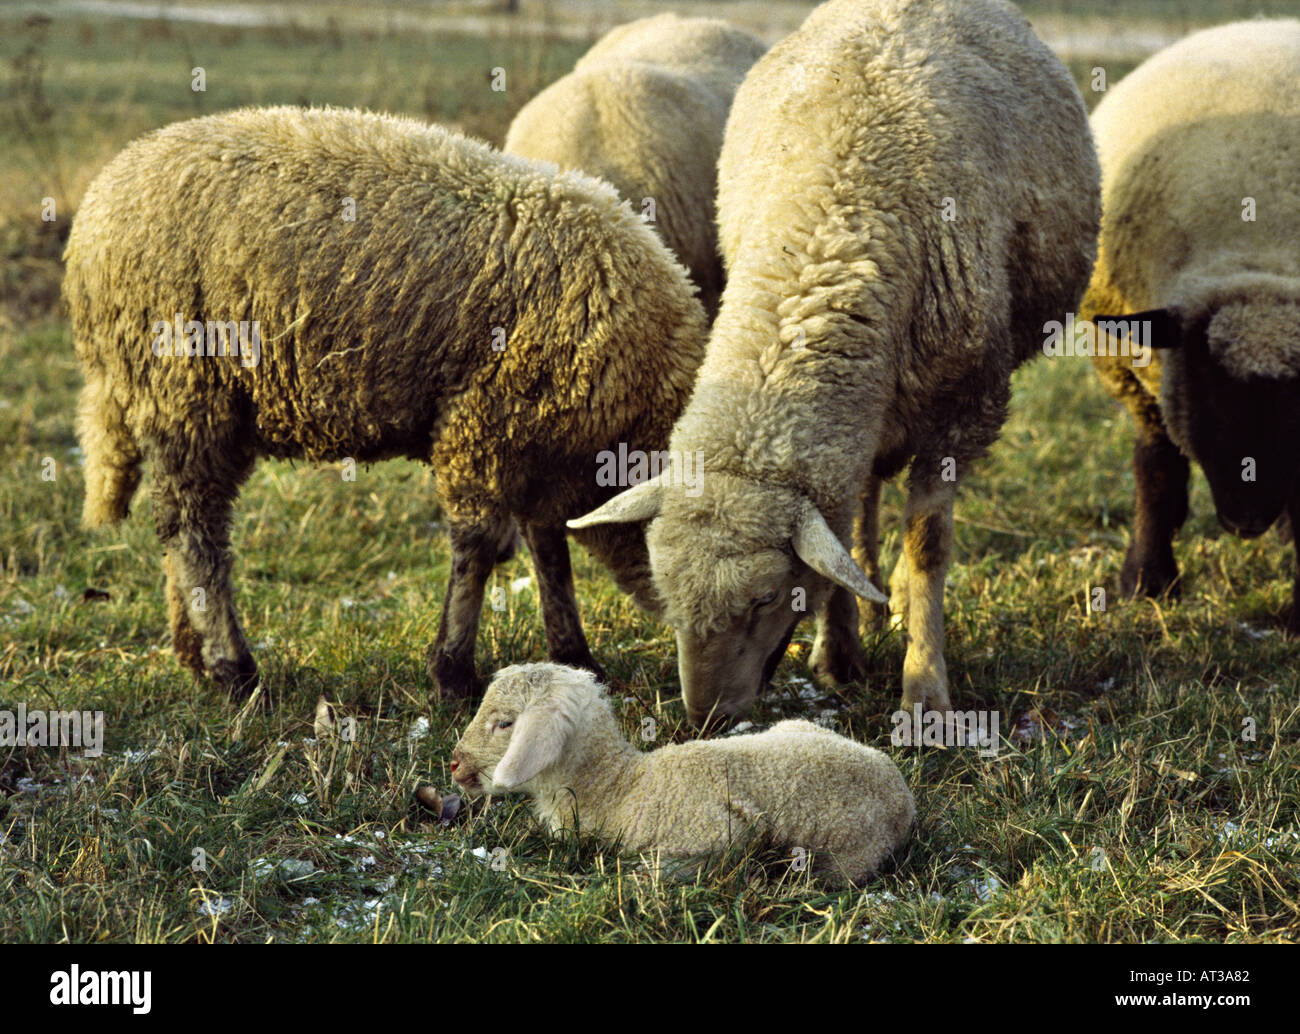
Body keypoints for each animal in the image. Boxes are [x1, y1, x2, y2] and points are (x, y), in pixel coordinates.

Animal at [65, 105, 707, 700]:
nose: (715, 707)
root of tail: (96, 208)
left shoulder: (533, 445)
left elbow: (548, 549)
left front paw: (575, 656)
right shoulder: (483, 426)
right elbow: (479, 546)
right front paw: (454, 675)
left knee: (181, 521)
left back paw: (193, 655)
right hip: (184, 390)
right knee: (193, 530)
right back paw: (233, 669)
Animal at [451, 663, 915, 887]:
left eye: (505, 724)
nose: (454, 763)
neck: (619, 786)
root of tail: (902, 795)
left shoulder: (720, 835)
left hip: (845, 858)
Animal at [569, 0, 1101, 726]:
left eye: (766, 598)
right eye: (666, 590)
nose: (705, 719)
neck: (829, 232)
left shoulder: (964, 409)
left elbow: (929, 543)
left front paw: (924, 689)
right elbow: (841, 532)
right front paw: (838, 653)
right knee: (863, 495)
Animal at [1078, 20, 1300, 631]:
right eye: (1211, 399)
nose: (1248, 522)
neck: (1257, 250)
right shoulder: (1140, 375)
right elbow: (1156, 471)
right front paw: (1147, 583)